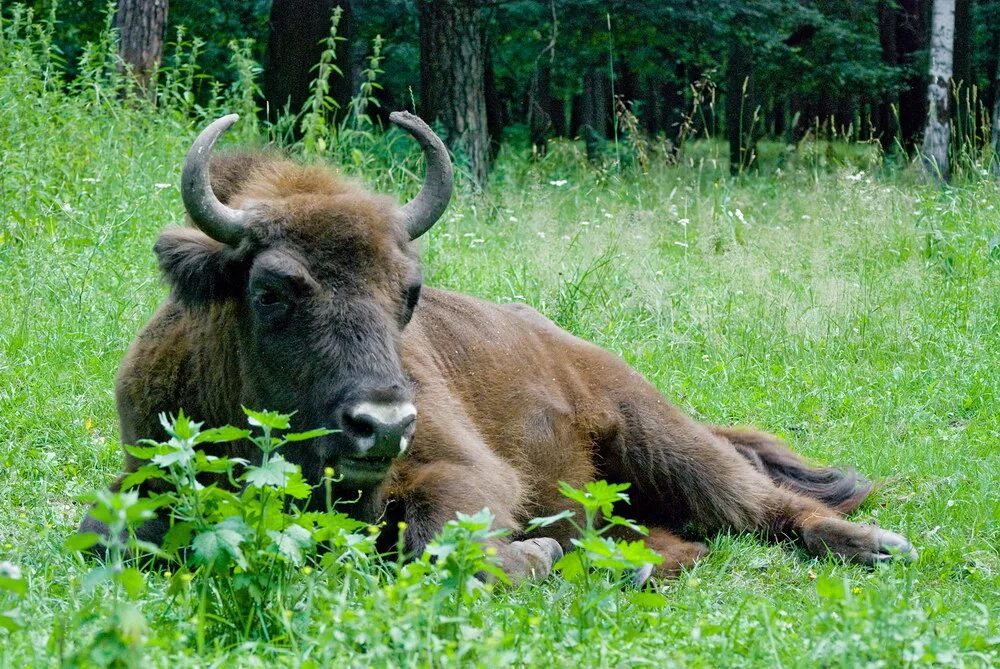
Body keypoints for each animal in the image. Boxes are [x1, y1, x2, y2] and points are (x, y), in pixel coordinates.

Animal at [82, 111, 916, 580]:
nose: (382, 424)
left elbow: (435, 540)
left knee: (765, 505)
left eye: (409, 292)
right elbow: (105, 535)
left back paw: (878, 545)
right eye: (271, 291)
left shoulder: (466, 469)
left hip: (663, 436)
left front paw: (535, 556)